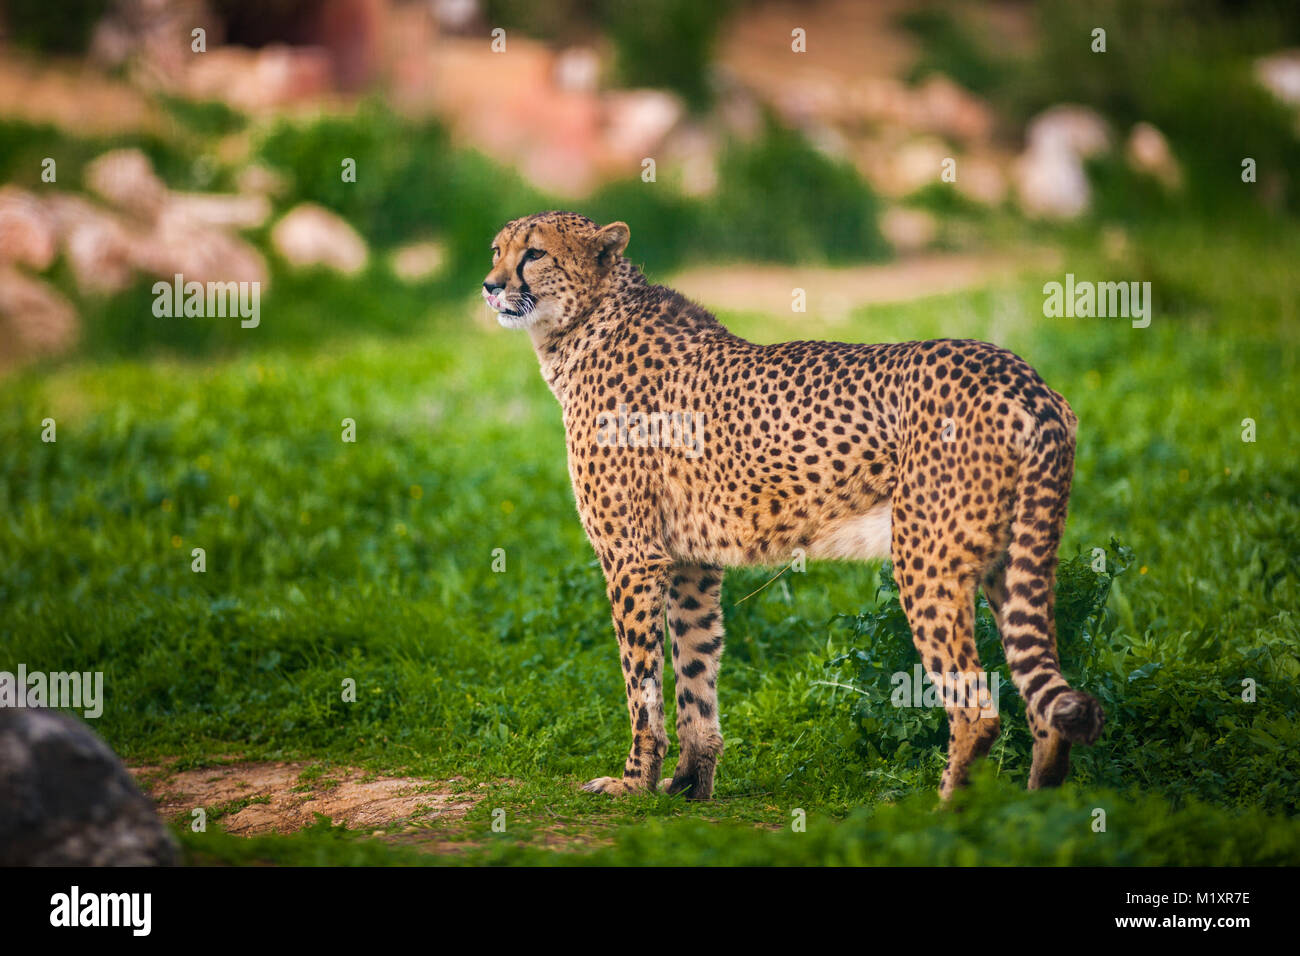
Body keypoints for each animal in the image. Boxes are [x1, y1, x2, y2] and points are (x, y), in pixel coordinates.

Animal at [481, 210, 1104, 802]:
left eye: (533, 253)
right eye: (496, 249)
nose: (490, 286)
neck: (586, 324)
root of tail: (1025, 378)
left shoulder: (632, 556)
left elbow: (643, 685)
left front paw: (633, 782)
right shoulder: (690, 563)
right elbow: (695, 672)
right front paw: (688, 784)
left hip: (928, 559)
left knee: (978, 706)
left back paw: (949, 811)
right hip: (1011, 559)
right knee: (1042, 701)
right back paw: (1032, 809)